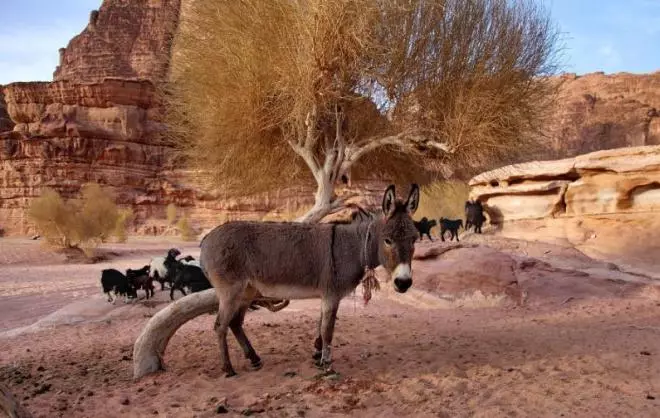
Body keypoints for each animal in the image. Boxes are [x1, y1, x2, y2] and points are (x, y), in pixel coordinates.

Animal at [199, 183, 420, 376]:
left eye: (414, 239)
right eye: (387, 240)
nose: (403, 283)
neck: (352, 248)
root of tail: (207, 239)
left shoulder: (327, 295)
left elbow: (321, 325)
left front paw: (317, 352)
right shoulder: (331, 294)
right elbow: (328, 328)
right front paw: (326, 364)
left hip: (247, 291)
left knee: (235, 323)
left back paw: (254, 359)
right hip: (230, 291)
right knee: (220, 325)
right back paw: (228, 369)